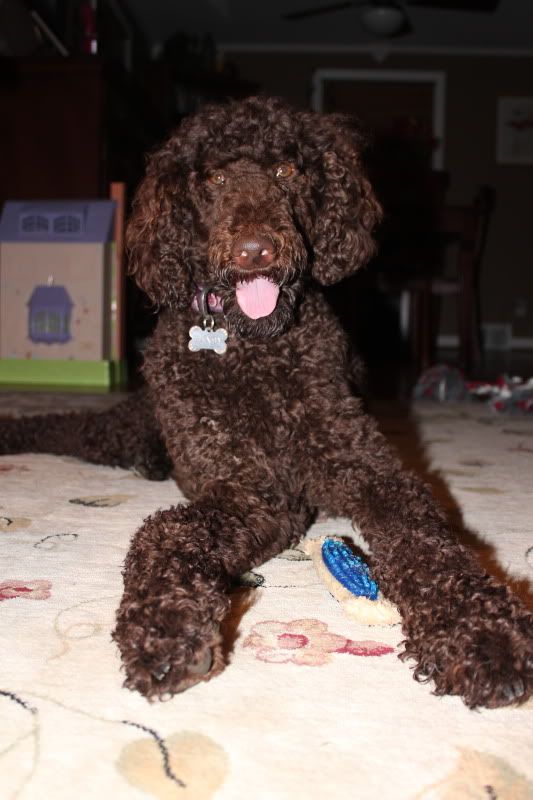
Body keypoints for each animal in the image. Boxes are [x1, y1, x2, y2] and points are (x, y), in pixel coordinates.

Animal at [2, 95, 528, 708]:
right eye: (214, 178)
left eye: (287, 170)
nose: (256, 250)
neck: (251, 349)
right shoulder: (247, 488)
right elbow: (167, 532)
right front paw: (163, 632)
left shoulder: (359, 470)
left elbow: (427, 540)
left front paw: (482, 636)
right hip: (133, 426)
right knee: (66, 426)